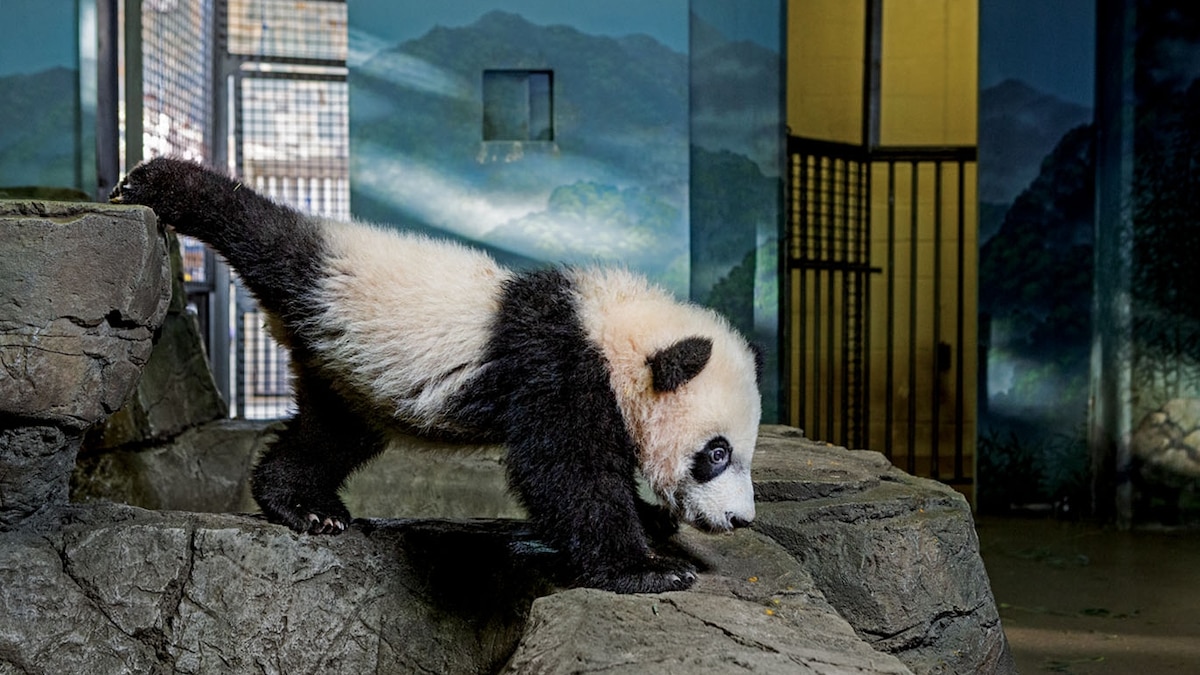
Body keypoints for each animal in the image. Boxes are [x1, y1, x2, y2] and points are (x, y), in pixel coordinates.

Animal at [110, 157, 762, 594]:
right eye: (718, 453)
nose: (739, 520)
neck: (612, 329)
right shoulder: (559, 366)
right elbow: (567, 472)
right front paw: (651, 567)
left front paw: (652, 522)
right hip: (326, 281)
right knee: (261, 230)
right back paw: (151, 183)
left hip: (348, 373)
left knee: (330, 433)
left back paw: (302, 503)